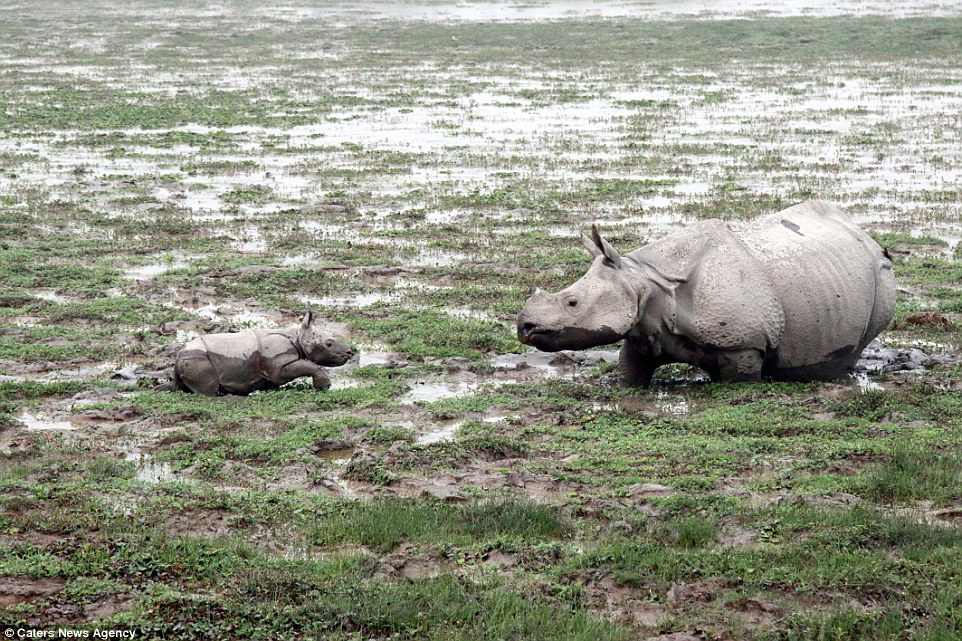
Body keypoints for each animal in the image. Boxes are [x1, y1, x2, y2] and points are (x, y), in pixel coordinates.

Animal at [157, 311, 354, 396]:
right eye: (329, 344)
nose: (349, 352)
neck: (298, 337)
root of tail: (177, 358)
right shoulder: (278, 366)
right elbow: (307, 366)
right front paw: (324, 386)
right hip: (197, 360)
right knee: (208, 390)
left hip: (190, 360)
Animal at [516, 200, 896, 385]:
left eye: (572, 302)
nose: (524, 327)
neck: (643, 280)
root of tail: (863, 234)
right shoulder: (641, 331)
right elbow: (630, 376)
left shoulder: (745, 343)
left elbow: (740, 379)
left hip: (880, 276)